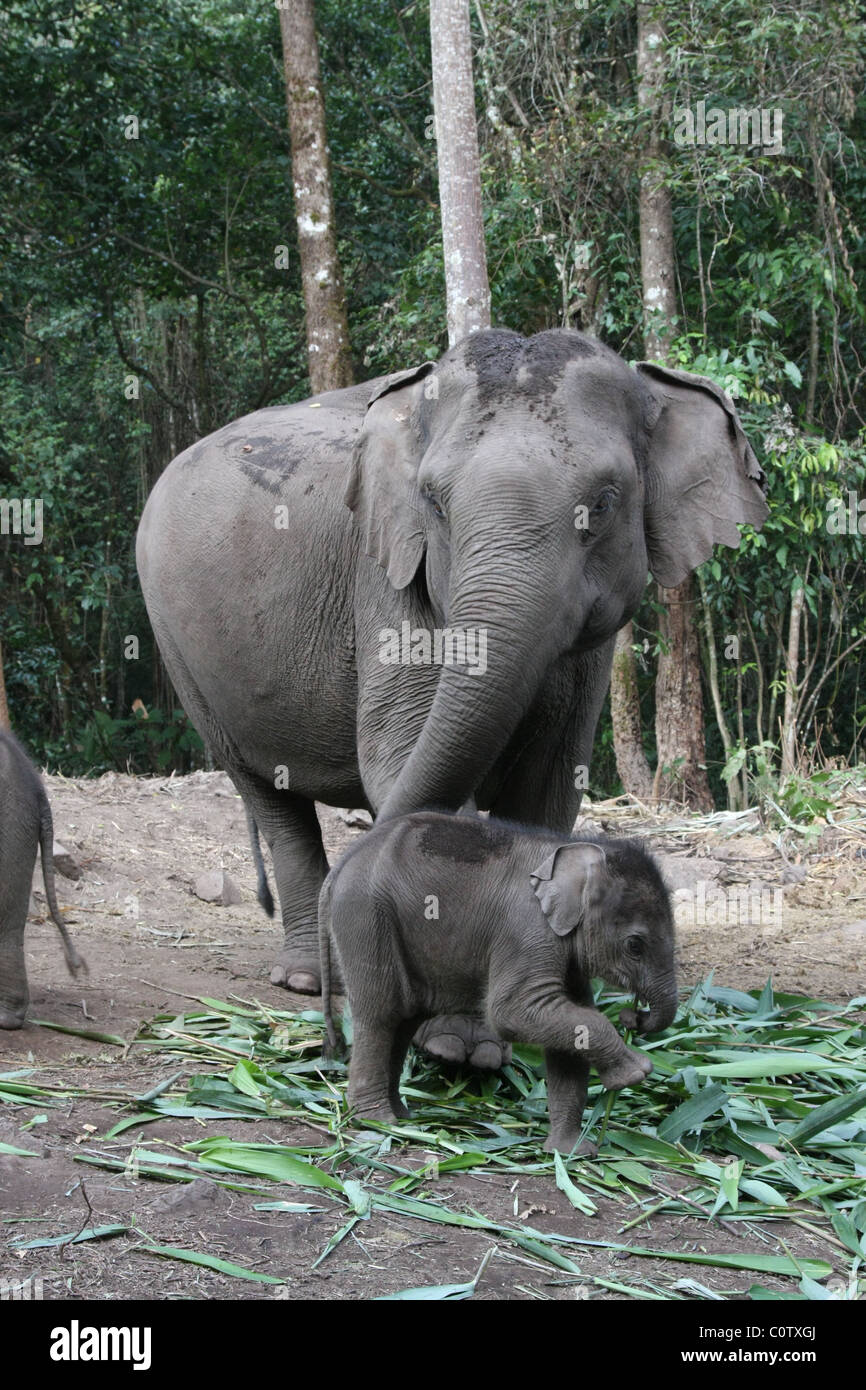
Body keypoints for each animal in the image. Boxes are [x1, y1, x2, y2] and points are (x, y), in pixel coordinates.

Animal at [136, 327, 766, 1063]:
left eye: (605, 503)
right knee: (269, 796)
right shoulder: (386, 578)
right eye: (434, 502)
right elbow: (401, 756)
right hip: (182, 653)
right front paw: (454, 1047)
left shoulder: (589, 654)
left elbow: (550, 786)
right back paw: (306, 979)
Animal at [319, 810, 676, 1153]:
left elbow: (571, 1030)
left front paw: (571, 1152)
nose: (633, 1016)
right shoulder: (526, 930)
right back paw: (377, 1122)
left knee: (405, 1018)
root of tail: (342, 864)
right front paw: (636, 1073)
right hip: (366, 916)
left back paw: (402, 1116)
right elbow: (511, 1013)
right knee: (381, 1013)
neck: (573, 851)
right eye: (634, 945)